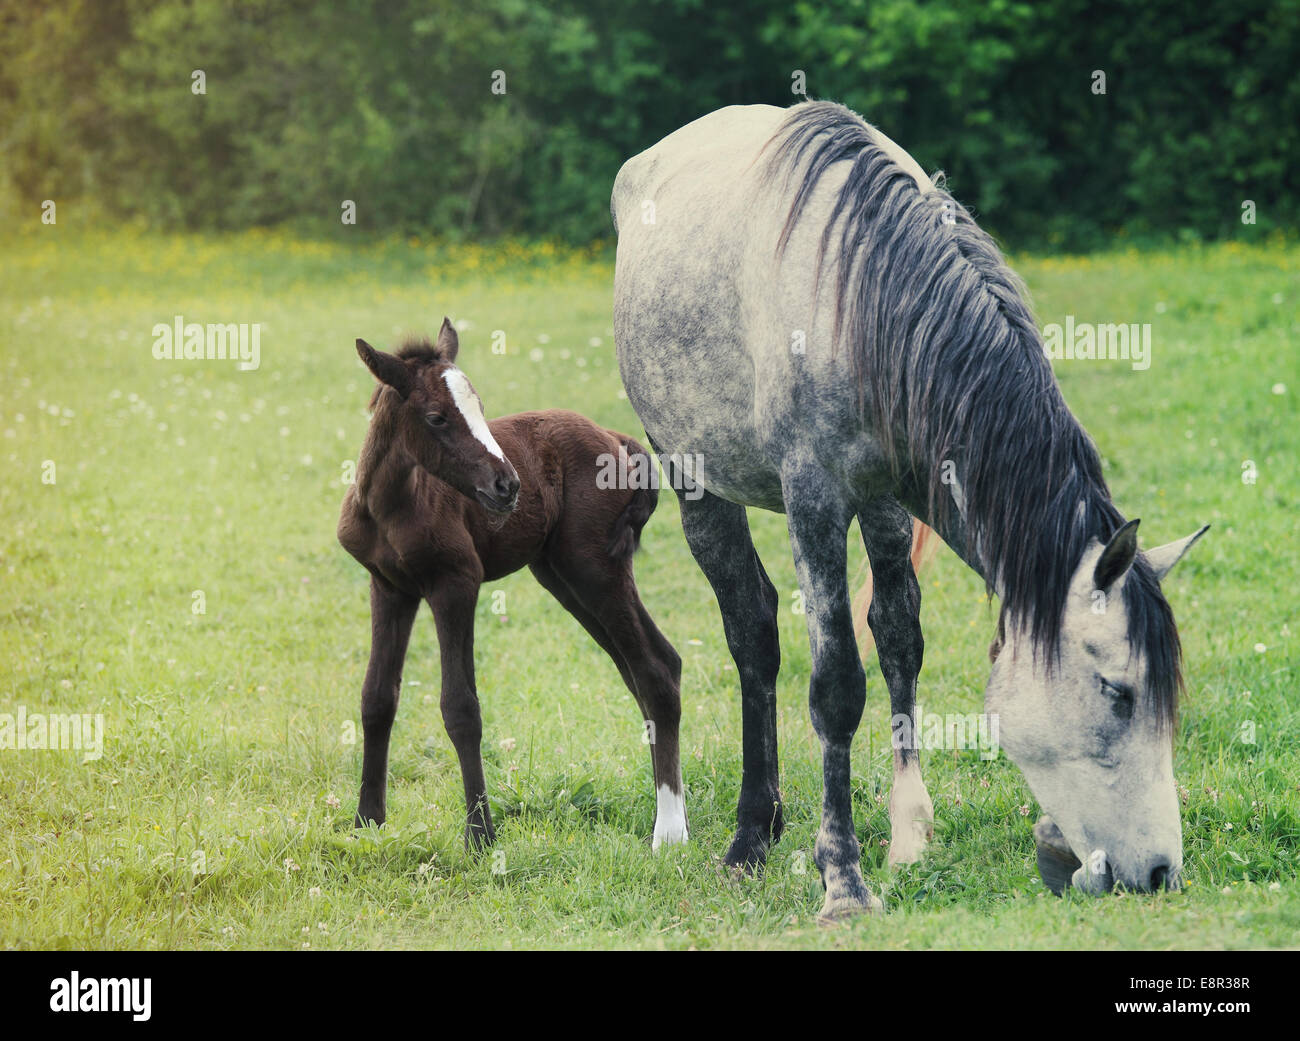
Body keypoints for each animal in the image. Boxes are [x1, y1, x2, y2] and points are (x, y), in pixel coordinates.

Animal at [337, 319, 686, 852]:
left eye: (481, 408)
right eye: (436, 418)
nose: (507, 485)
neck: (391, 506)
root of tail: (616, 438)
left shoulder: (456, 583)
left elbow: (461, 708)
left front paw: (480, 836)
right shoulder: (390, 587)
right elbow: (377, 699)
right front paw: (366, 823)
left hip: (595, 569)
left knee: (654, 672)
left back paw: (669, 833)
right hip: (563, 575)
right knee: (655, 663)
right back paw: (670, 816)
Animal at [611, 100, 1207, 919]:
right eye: (1119, 692)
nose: (1160, 873)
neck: (864, 300)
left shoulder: (889, 498)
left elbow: (899, 638)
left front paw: (909, 835)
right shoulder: (816, 502)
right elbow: (836, 688)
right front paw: (843, 881)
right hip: (696, 481)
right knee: (751, 631)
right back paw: (749, 837)